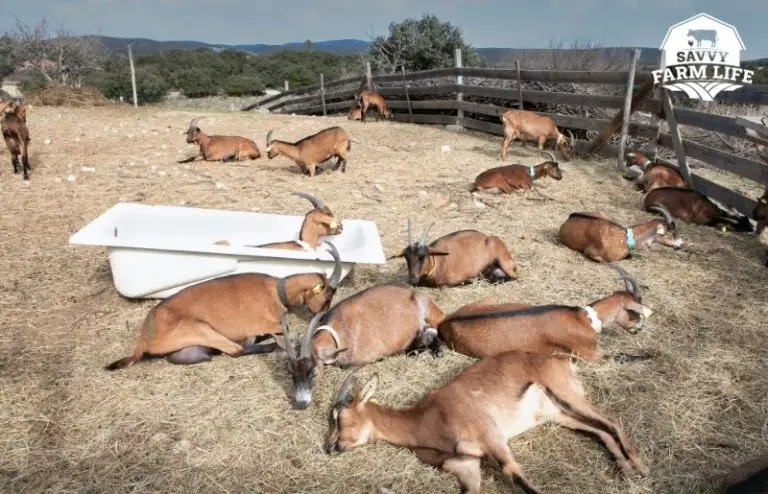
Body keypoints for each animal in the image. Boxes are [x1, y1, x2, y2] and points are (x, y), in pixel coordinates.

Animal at [104, 242, 343, 371]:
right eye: (327, 296)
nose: (324, 316)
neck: (276, 290)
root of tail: (143, 339)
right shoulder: (265, 322)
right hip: (199, 328)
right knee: (235, 350)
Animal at [282, 284, 445, 409]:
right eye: (291, 372)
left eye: (313, 372)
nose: (301, 403)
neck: (342, 328)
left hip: (432, 314)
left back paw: (436, 351)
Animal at [325, 351, 648, 494]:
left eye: (339, 417)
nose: (332, 447)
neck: (427, 420)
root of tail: (561, 359)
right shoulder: (465, 464)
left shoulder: (491, 439)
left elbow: (515, 474)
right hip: (559, 415)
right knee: (600, 431)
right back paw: (625, 470)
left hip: (568, 395)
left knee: (612, 422)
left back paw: (640, 467)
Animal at [390, 219, 518, 287]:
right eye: (406, 257)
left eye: (423, 256)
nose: (412, 280)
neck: (437, 261)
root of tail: (486, 237)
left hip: (504, 263)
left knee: (514, 277)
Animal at [436, 263, 654, 364]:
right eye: (635, 312)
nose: (640, 328)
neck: (584, 317)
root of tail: (445, 323)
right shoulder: (590, 354)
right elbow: (621, 357)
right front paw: (650, 355)